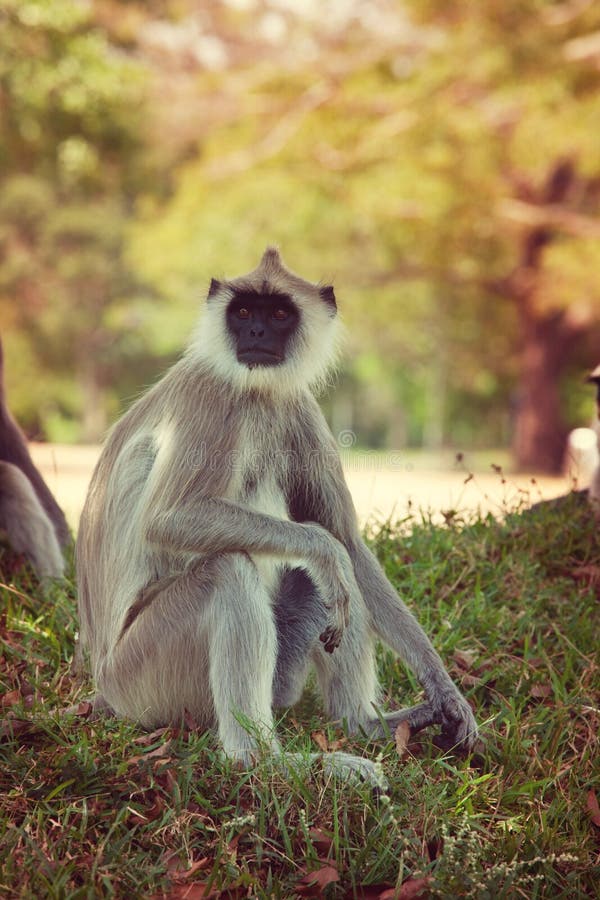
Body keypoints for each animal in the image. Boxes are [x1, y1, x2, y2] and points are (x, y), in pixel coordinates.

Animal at [76, 248, 478, 782]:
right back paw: (265, 762)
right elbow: (169, 518)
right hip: (143, 680)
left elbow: (349, 545)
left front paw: (446, 692)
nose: (257, 333)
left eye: (280, 313)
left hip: (270, 677)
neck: (255, 390)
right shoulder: (212, 397)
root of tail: (103, 687)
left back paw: (366, 726)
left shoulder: (297, 405)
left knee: (327, 586)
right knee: (230, 570)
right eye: (244, 311)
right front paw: (323, 550)